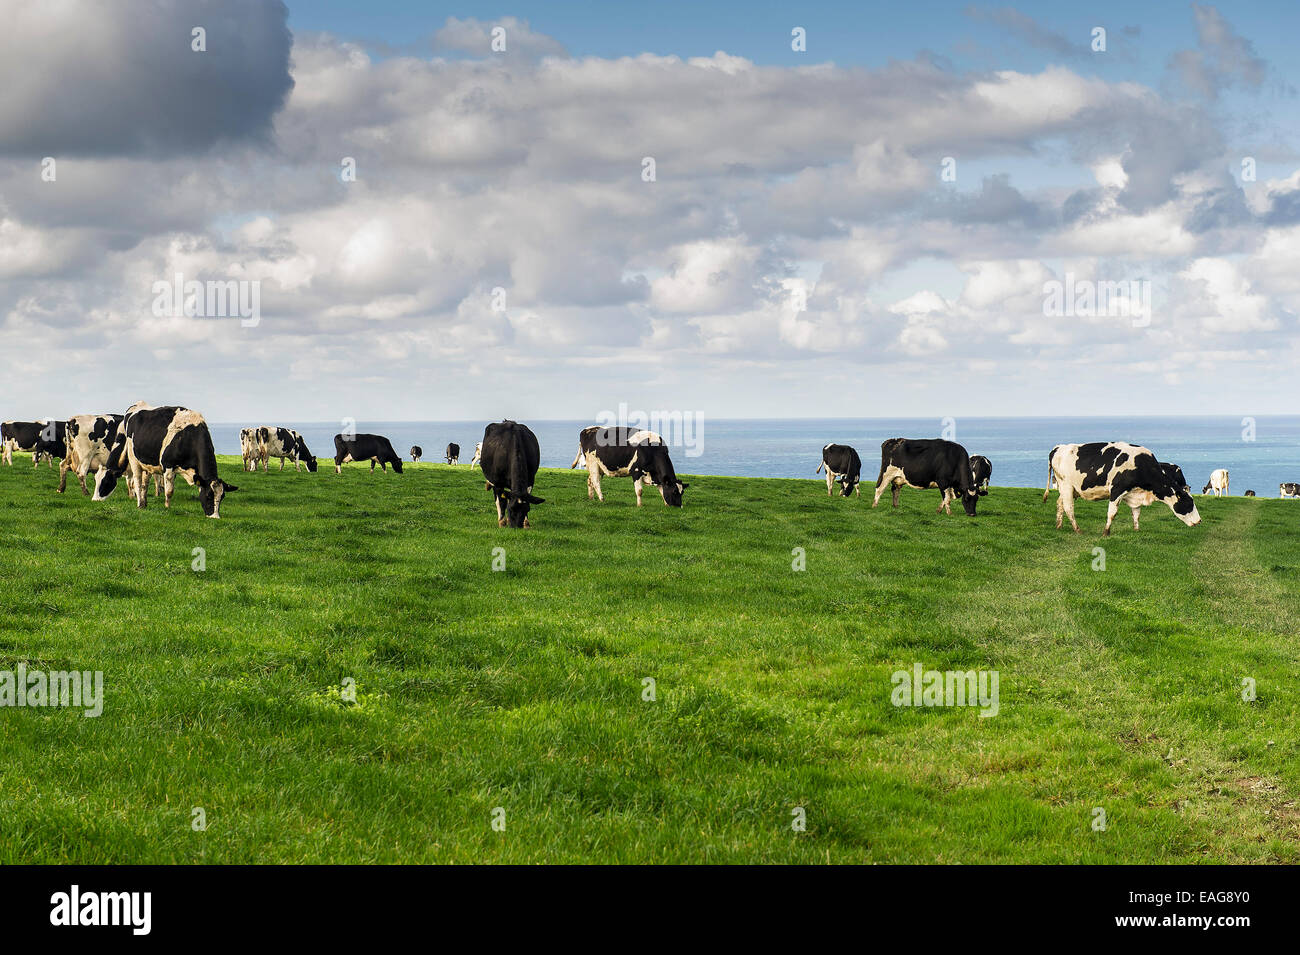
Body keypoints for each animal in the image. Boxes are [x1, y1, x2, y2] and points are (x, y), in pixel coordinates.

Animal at [94, 404, 237, 517]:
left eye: (222, 497)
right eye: (208, 496)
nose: (215, 517)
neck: (188, 436)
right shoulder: (168, 465)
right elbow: (169, 491)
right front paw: (167, 508)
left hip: (147, 463)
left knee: (145, 484)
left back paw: (144, 504)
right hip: (134, 460)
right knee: (138, 482)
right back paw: (139, 503)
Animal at [1045, 442, 1200, 535]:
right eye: (1190, 503)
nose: (1199, 521)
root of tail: (1058, 447)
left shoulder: (1135, 494)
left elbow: (1136, 513)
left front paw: (1137, 529)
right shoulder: (1116, 490)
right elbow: (1112, 513)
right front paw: (1106, 532)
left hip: (1067, 488)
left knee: (1060, 504)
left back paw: (1059, 525)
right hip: (1066, 486)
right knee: (1068, 507)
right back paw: (1077, 529)